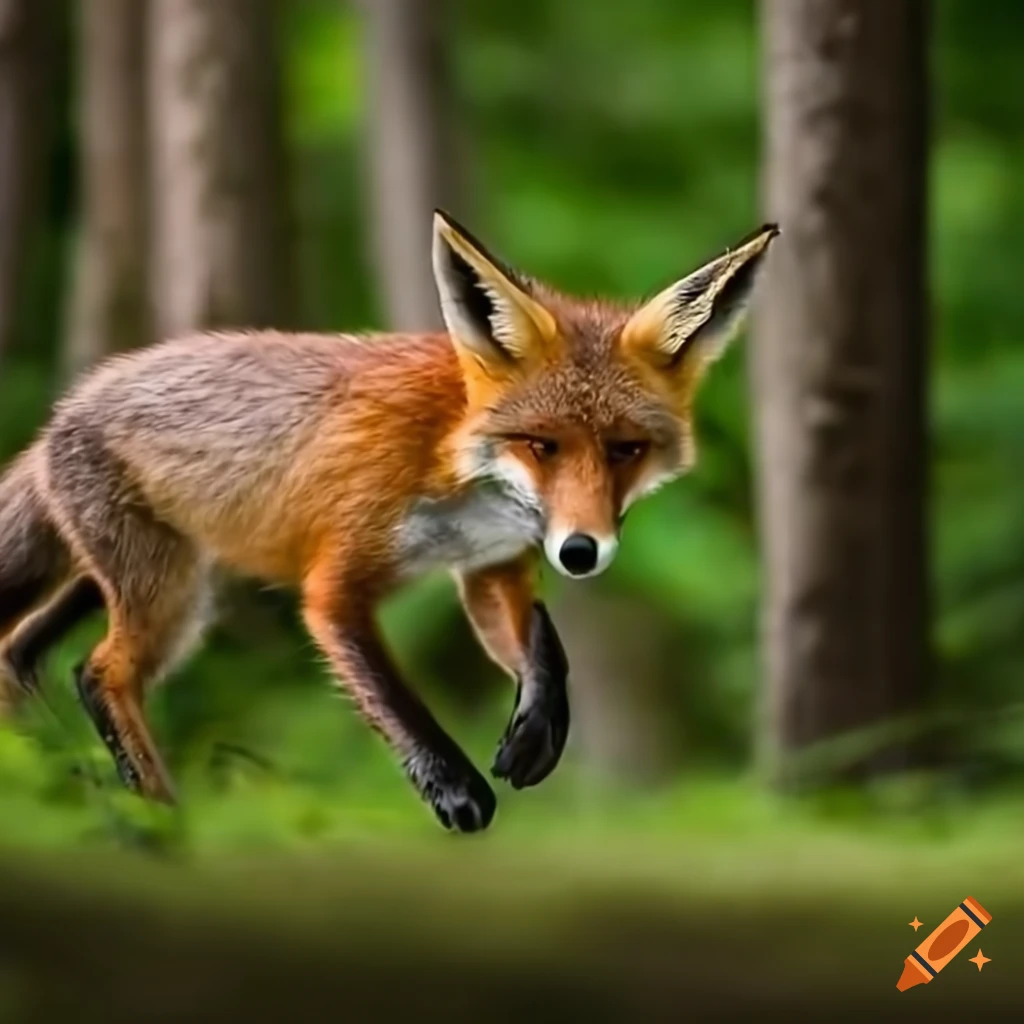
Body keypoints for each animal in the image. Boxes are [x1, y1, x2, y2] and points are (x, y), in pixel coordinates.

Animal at [0, 210, 777, 831]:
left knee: (23, 648)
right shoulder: (338, 581)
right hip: (171, 595)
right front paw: (454, 788)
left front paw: (536, 730)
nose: (582, 552)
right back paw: (156, 818)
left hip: (145, 580)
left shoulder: (491, 568)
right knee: (99, 672)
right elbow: (397, 700)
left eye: (625, 450)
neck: (460, 469)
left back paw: (55, 772)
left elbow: (540, 648)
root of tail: (59, 416)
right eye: (541, 444)